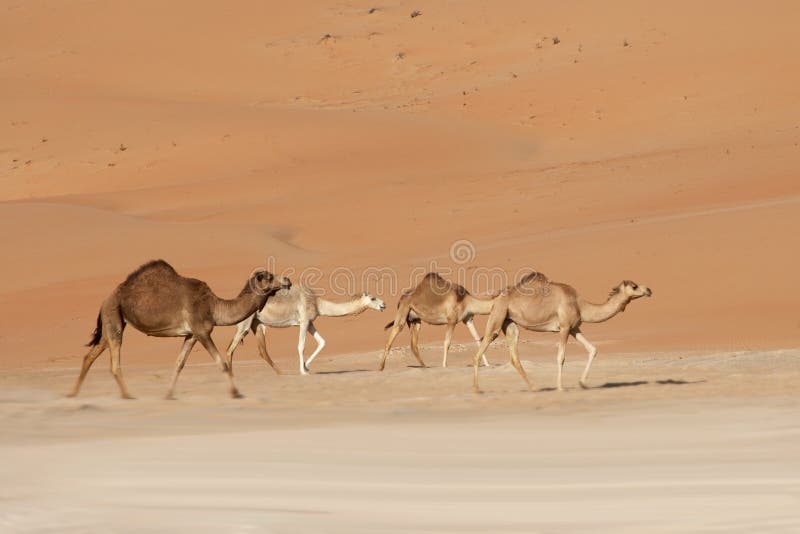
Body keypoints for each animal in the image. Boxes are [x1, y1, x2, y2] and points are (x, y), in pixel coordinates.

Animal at [66, 259, 290, 399]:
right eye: (269, 277)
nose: (287, 280)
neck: (213, 306)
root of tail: (106, 299)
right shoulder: (201, 331)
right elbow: (221, 363)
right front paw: (236, 393)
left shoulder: (191, 335)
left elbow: (179, 364)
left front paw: (168, 395)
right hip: (113, 315)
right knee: (113, 361)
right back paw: (127, 395)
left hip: (112, 321)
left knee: (91, 354)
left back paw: (72, 393)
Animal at [226, 284, 386, 375]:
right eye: (373, 298)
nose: (384, 304)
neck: (317, 303)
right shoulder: (303, 321)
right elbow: (301, 346)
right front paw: (303, 371)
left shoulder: (309, 323)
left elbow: (322, 342)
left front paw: (307, 366)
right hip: (245, 323)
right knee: (230, 349)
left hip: (256, 324)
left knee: (261, 349)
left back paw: (280, 372)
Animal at [471, 272, 652, 393]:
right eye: (634, 286)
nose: (649, 290)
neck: (581, 305)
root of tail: (497, 298)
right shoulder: (564, 327)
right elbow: (561, 357)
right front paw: (560, 387)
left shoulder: (574, 328)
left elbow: (592, 349)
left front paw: (582, 383)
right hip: (497, 316)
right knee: (480, 350)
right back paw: (477, 390)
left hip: (509, 322)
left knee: (514, 357)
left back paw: (535, 388)